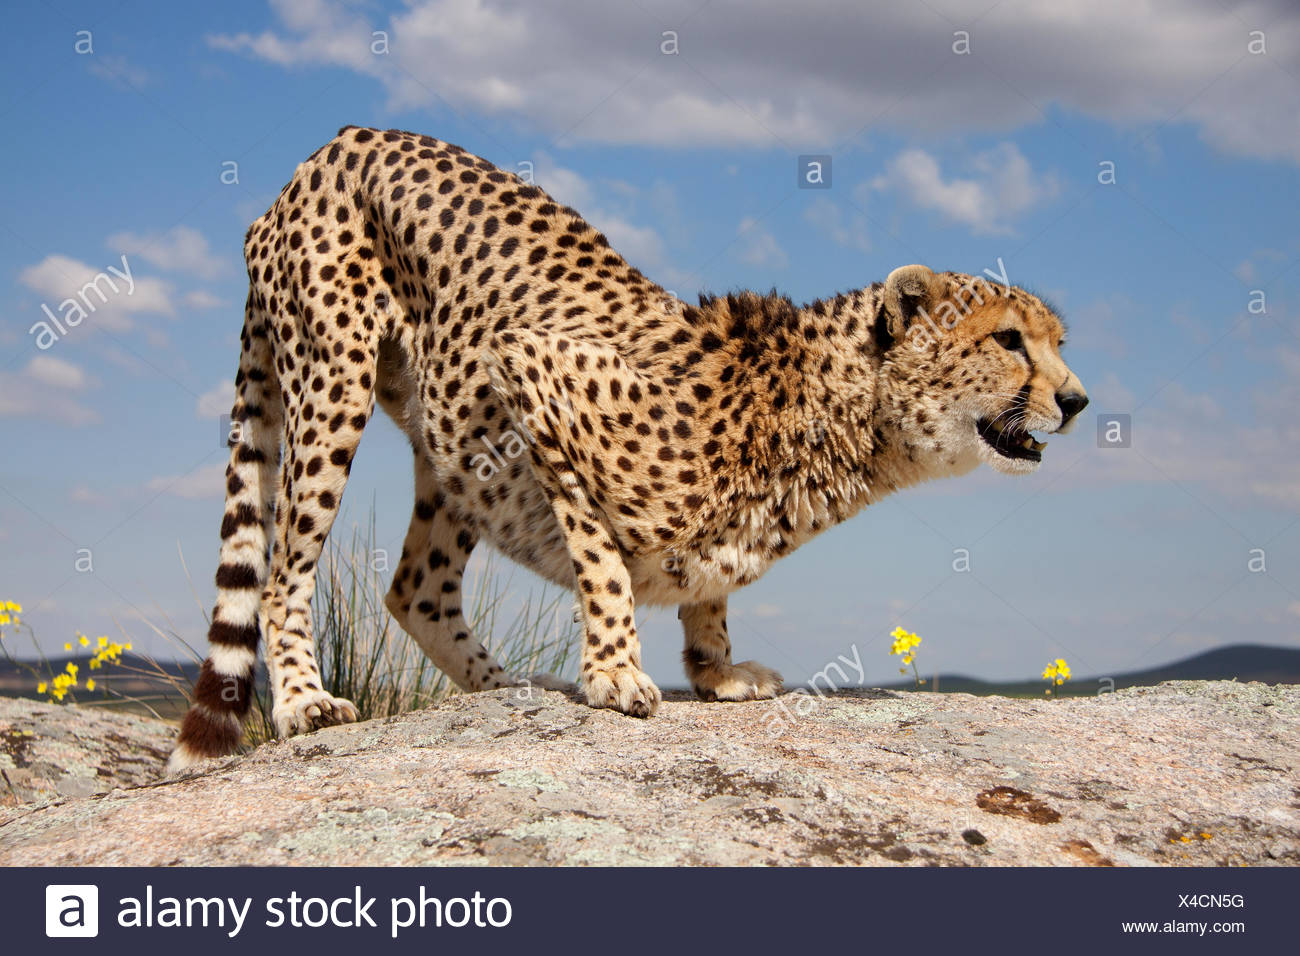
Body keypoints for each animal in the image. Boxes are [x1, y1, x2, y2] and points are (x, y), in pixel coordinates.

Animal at [167, 125, 1087, 772]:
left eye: (1058, 341)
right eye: (1010, 340)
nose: (1078, 401)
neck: (835, 418)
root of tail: (331, 146)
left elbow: (707, 589)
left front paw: (714, 674)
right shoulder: (531, 369)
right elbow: (603, 559)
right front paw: (613, 671)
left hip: (455, 442)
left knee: (414, 588)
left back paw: (506, 686)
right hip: (337, 380)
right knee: (284, 569)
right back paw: (304, 700)